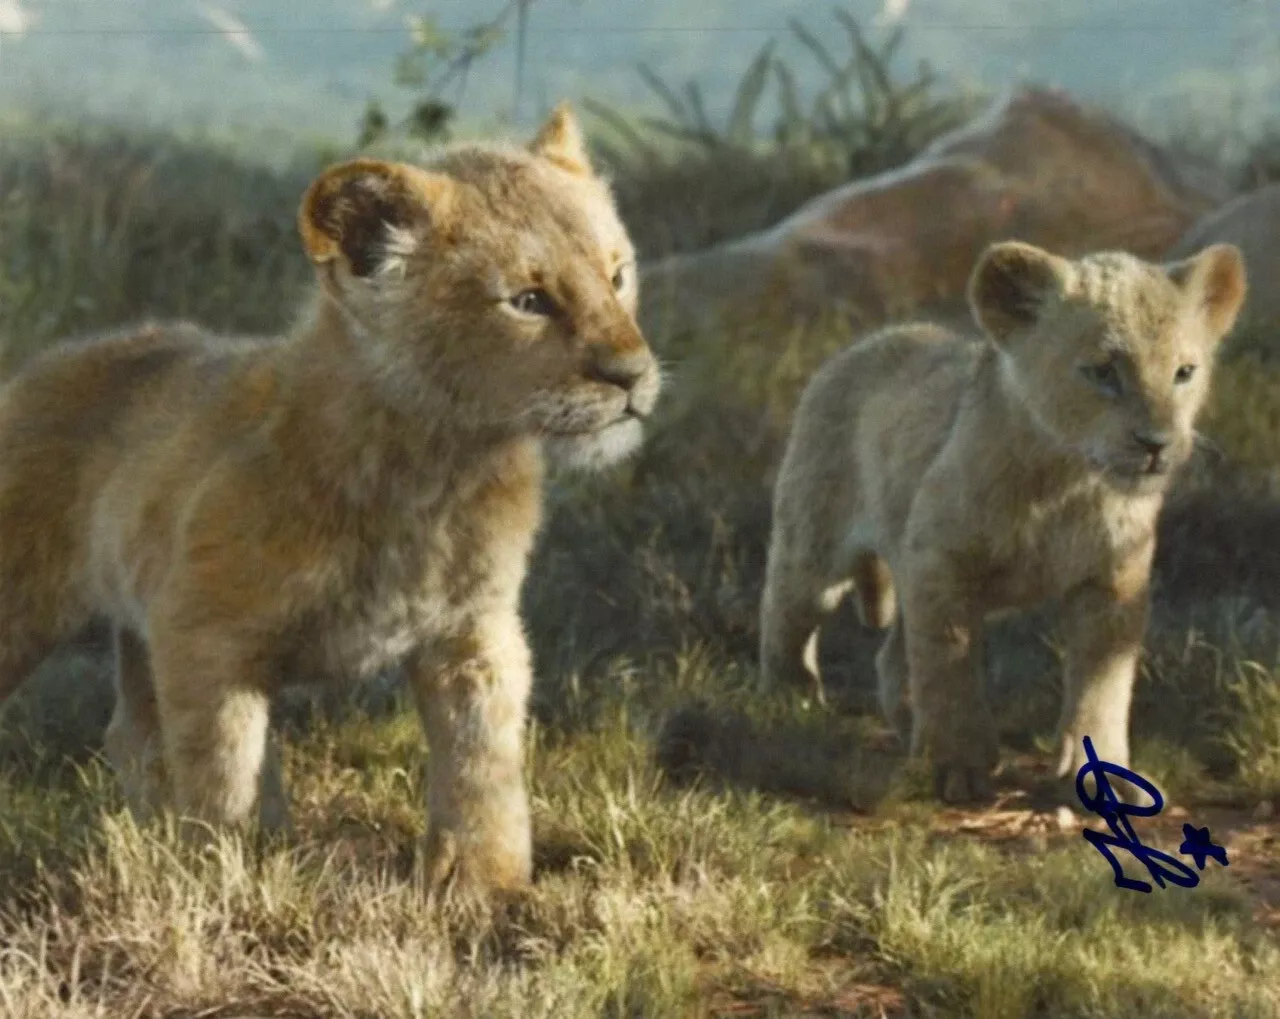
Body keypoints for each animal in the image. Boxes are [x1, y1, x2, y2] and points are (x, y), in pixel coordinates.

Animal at [0, 103, 661, 894]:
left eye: (618, 275)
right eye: (529, 302)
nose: (633, 375)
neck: (435, 473)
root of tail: (30, 373)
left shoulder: (476, 631)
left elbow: (483, 766)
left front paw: (486, 887)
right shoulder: (203, 635)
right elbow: (224, 773)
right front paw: (226, 878)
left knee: (131, 735)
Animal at [759, 239, 1246, 803]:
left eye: (1184, 373)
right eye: (1104, 371)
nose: (1156, 444)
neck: (1068, 482)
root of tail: (870, 341)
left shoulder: (1113, 579)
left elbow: (1104, 679)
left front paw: (1103, 775)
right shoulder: (940, 560)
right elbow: (948, 663)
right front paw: (958, 767)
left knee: (891, 657)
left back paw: (907, 728)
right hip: (815, 542)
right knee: (788, 609)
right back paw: (790, 699)